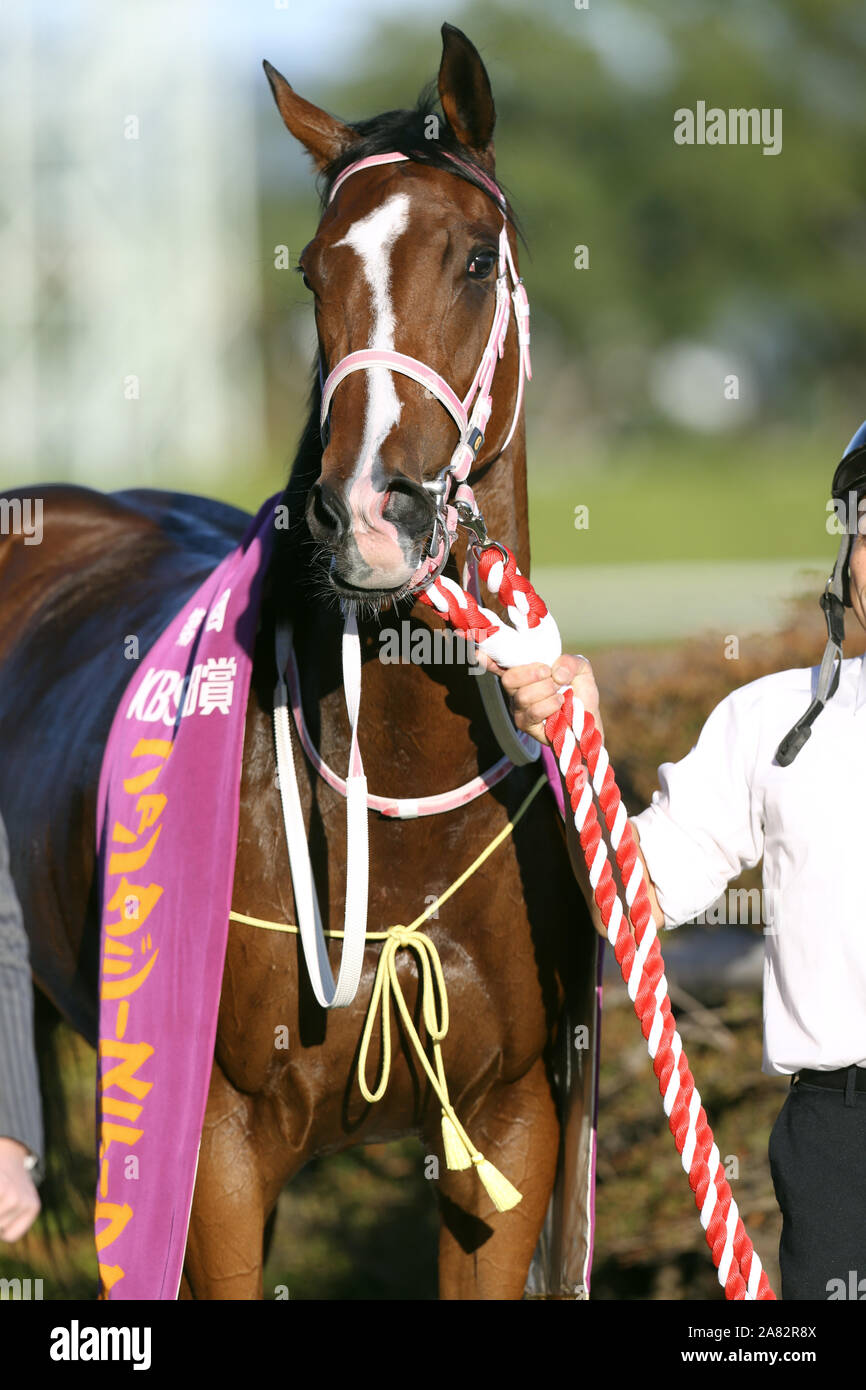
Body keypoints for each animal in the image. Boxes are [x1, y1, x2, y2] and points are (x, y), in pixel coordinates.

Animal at [0, 23, 597, 1299]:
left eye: (476, 259)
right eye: (314, 273)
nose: (367, 512)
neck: (401, 811)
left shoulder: (509, 1124)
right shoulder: (217, 1145)